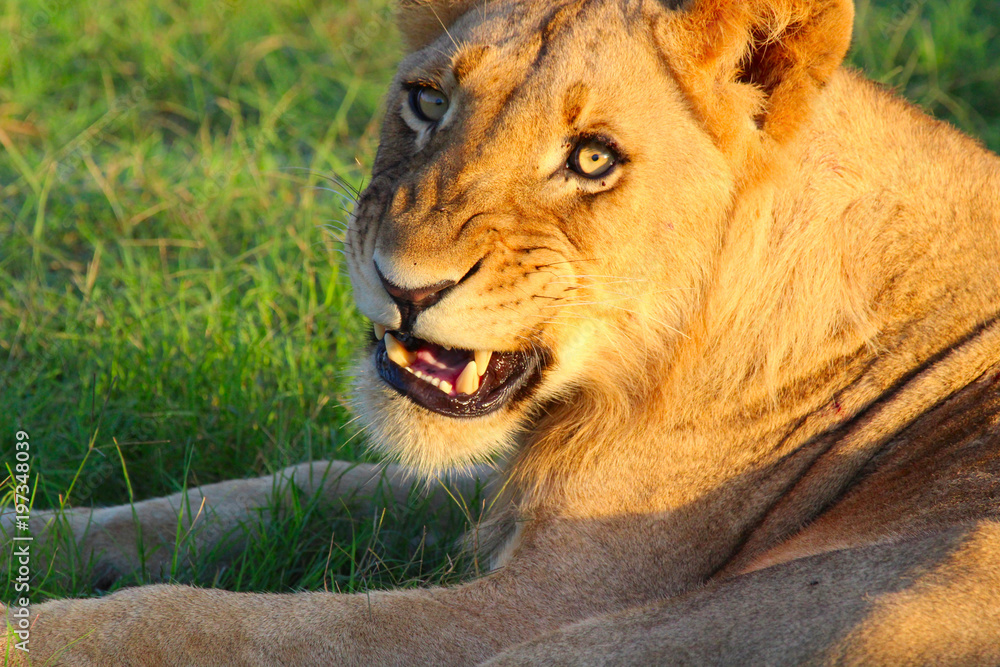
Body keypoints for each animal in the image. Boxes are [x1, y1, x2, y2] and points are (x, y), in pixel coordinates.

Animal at [4, 0, 1000, 663]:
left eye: (593, 158)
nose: (404, 283)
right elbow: (276, 487)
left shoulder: (547, 597)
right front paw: (28, 531)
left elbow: (208, 619)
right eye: (427, 102)